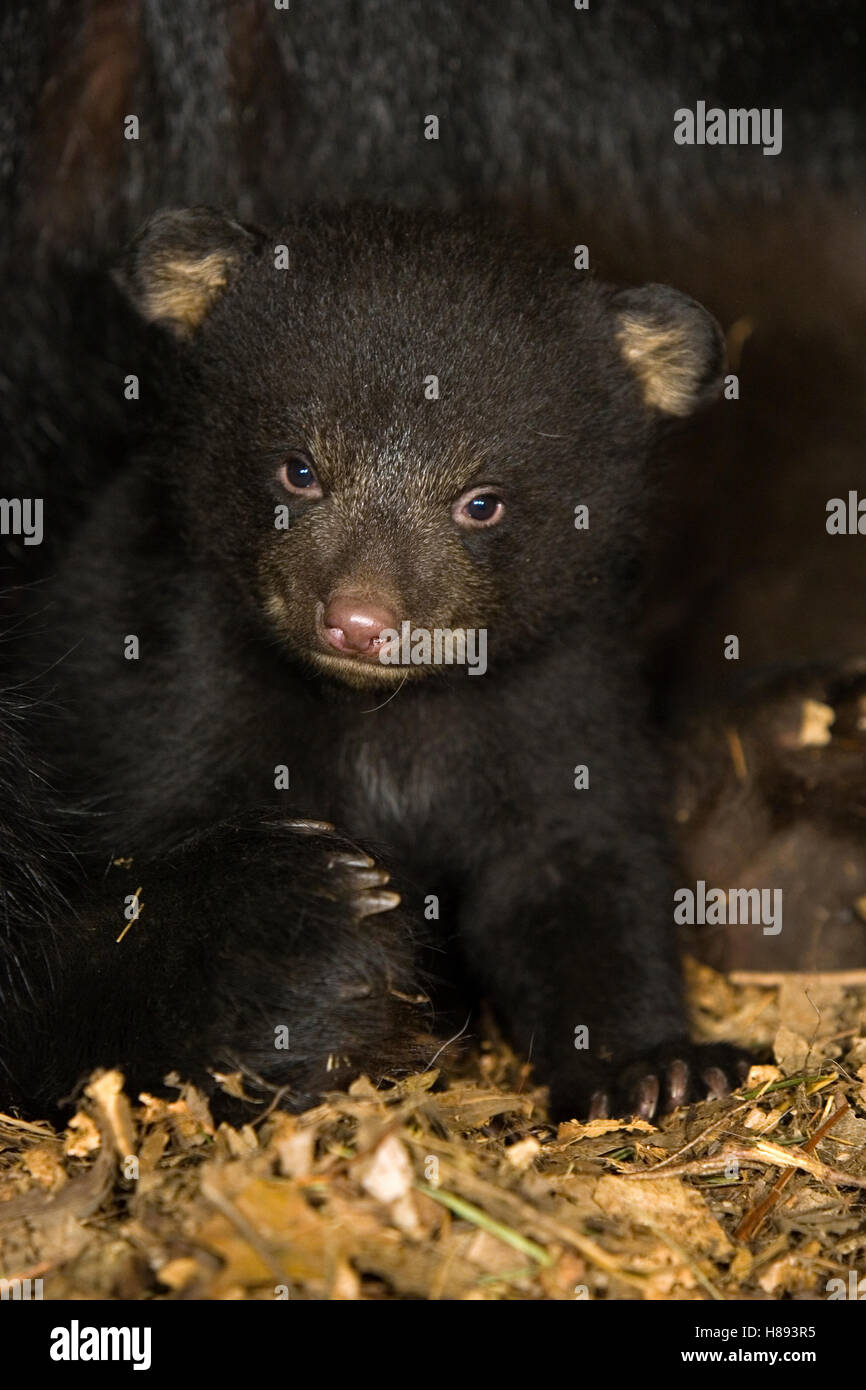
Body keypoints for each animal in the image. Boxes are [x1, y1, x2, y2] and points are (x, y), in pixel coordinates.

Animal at [3, 202, 750, 1122]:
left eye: (482, 502)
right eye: (299, 469)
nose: (360, 623)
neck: (385, 713)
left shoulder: (558, 699)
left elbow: (577, 873)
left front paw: (657, 1069)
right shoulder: (178, 683)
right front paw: (291, 925)